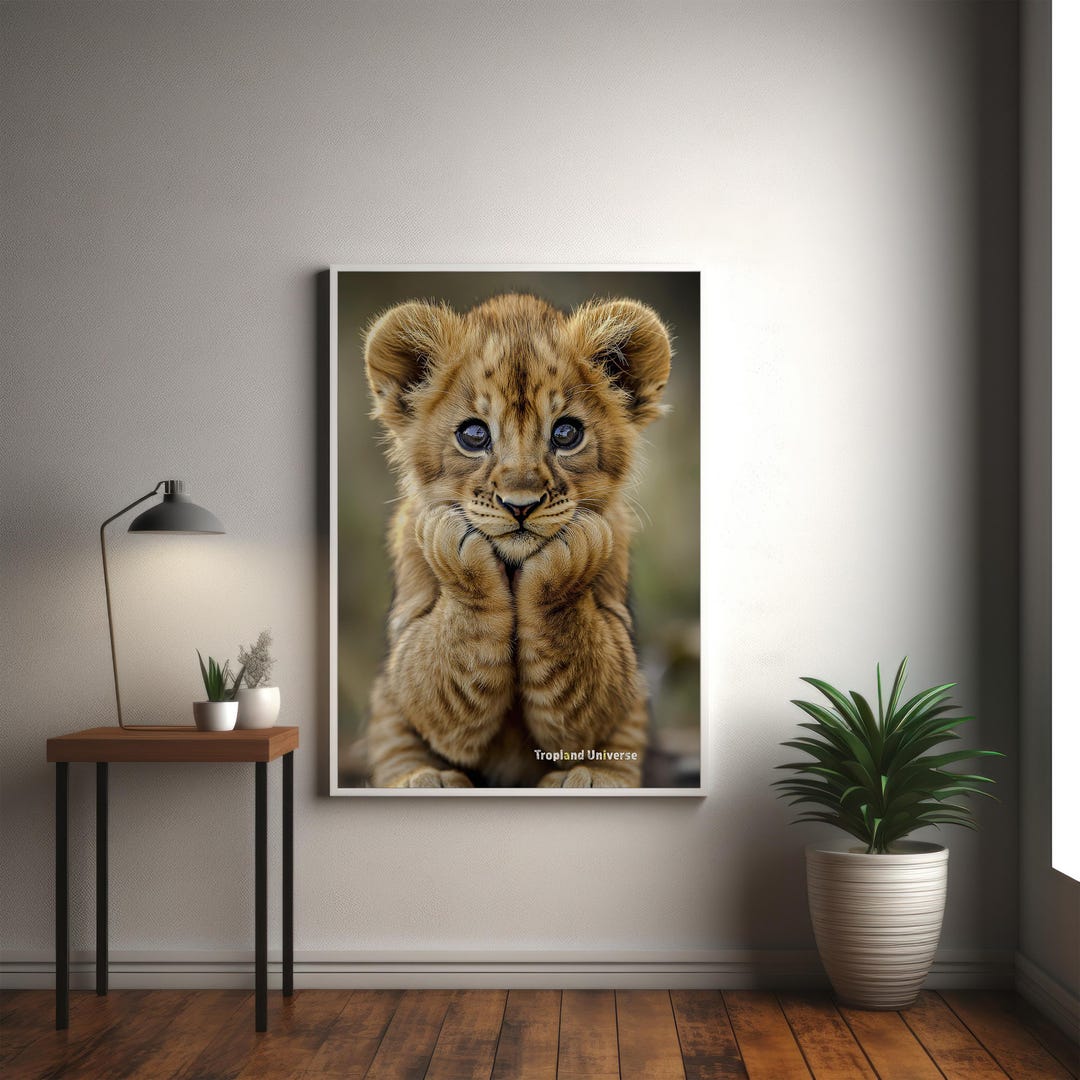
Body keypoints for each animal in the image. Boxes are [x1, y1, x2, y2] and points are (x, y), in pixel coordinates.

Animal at [362, 293, 671, 788]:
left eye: (566, 433)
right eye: (473, 434)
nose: (520, 505)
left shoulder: (619, 657)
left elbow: (588, 707)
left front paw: (576, 546)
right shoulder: (407, 646)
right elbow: (435, 686)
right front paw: (450, 537)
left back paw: (589, 779)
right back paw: (427, 778)